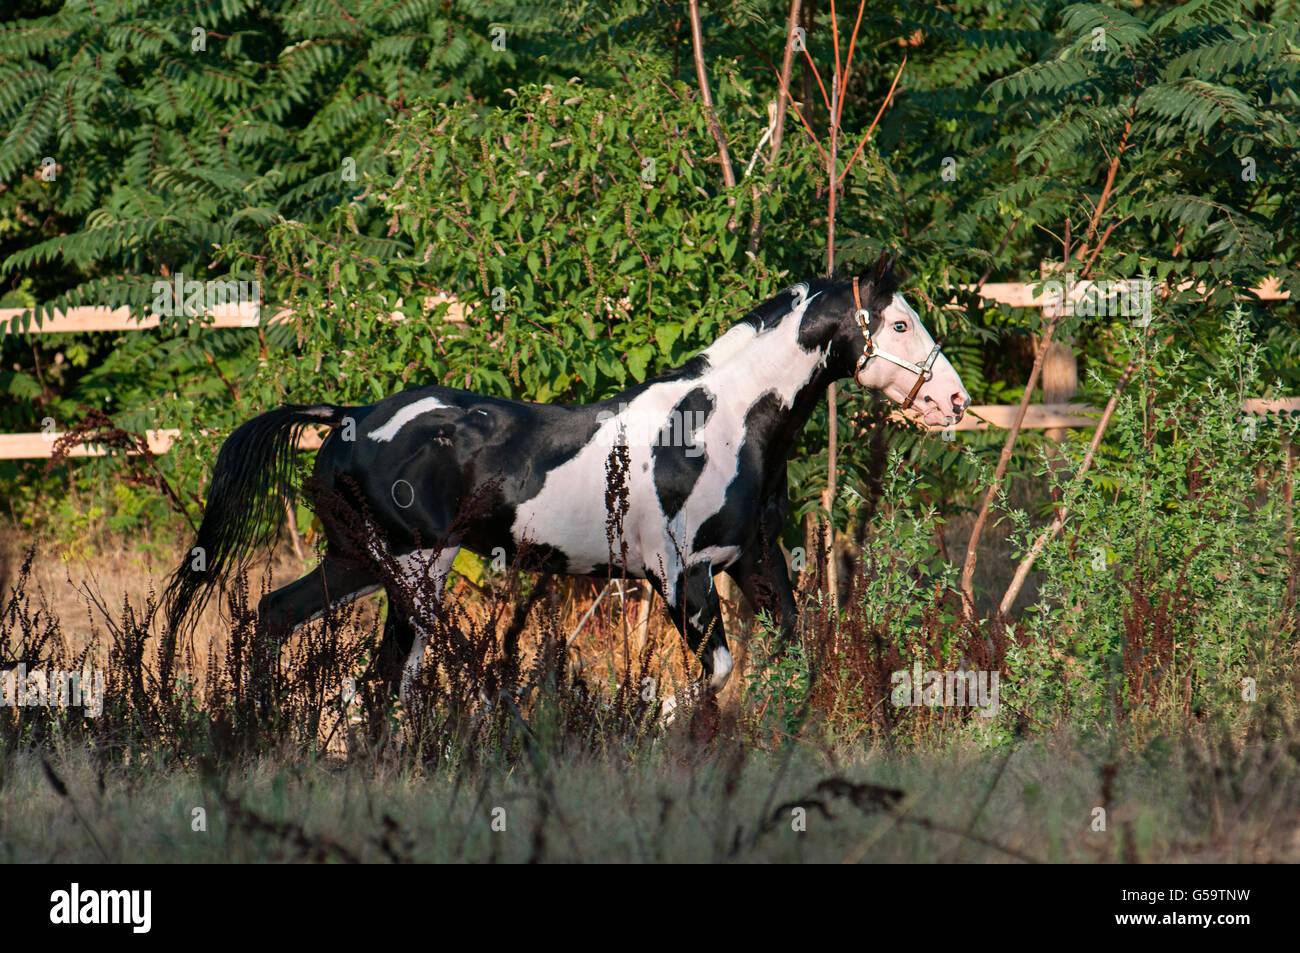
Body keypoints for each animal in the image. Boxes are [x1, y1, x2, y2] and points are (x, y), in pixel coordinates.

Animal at [162, 256, 969, 717]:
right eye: (899, 323)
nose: (954, 401)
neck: (717, 425)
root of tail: (350, 417)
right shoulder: (678, 574)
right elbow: (714, 671)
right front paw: (651, 719)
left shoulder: (752, 561)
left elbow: (792, 651)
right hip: (409, 573)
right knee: (383, 676)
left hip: (362, 563)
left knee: (280, 621)